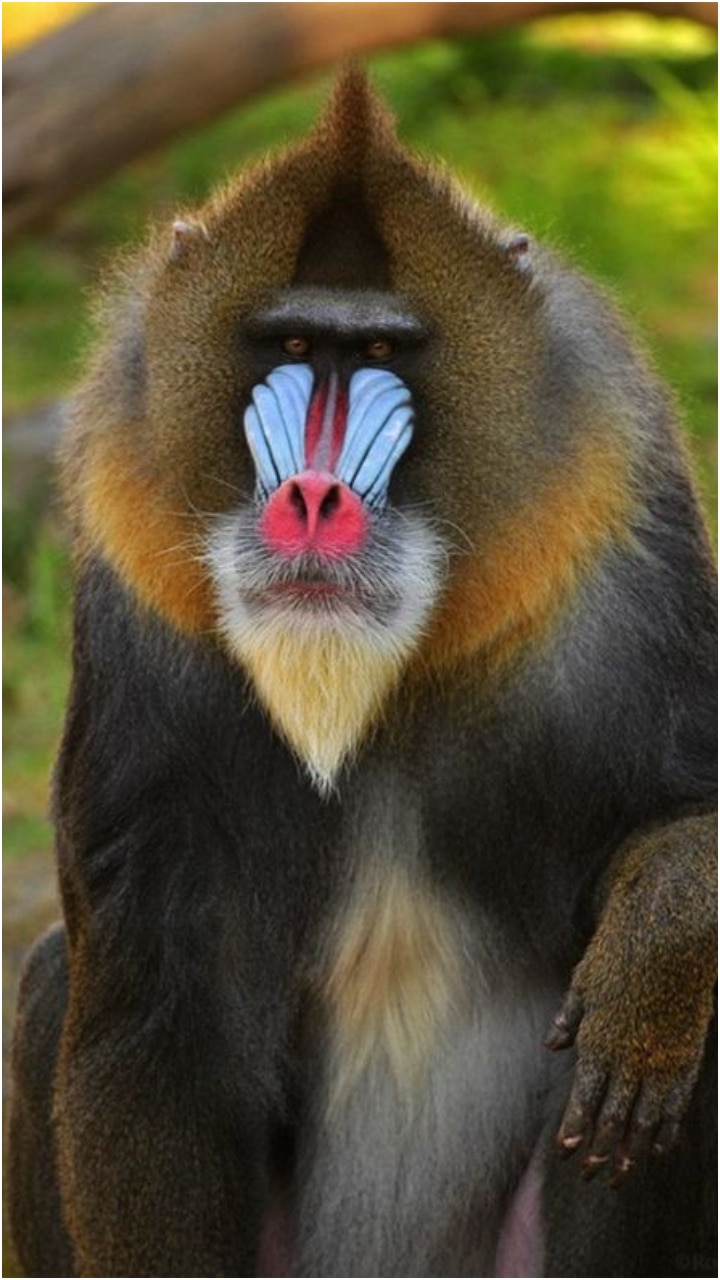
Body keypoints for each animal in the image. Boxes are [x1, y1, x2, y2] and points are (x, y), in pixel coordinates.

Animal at [8, 67, 717, 1278]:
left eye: (380, 358)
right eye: (292, 343)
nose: (314, 500)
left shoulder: (628, 568)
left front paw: (663, 941)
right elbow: (152, 1042)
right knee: (53, 975)